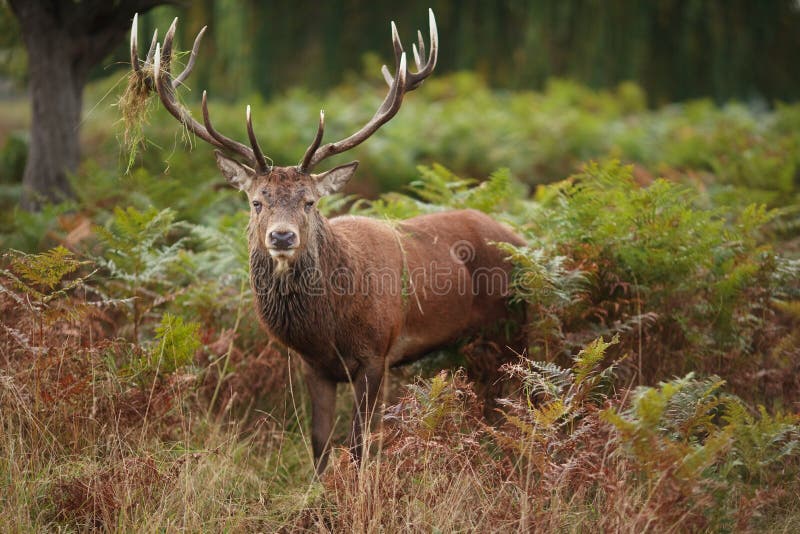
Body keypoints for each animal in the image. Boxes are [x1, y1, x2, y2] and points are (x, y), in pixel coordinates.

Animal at [129, 9, 526, 474]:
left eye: (310, 201)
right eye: (256, 201)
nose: (282, 235)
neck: (328, 327)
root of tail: (520, 237)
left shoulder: (377, 354)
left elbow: (358, 444)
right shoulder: (313, 366)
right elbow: (319, 442)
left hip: (510, 329)